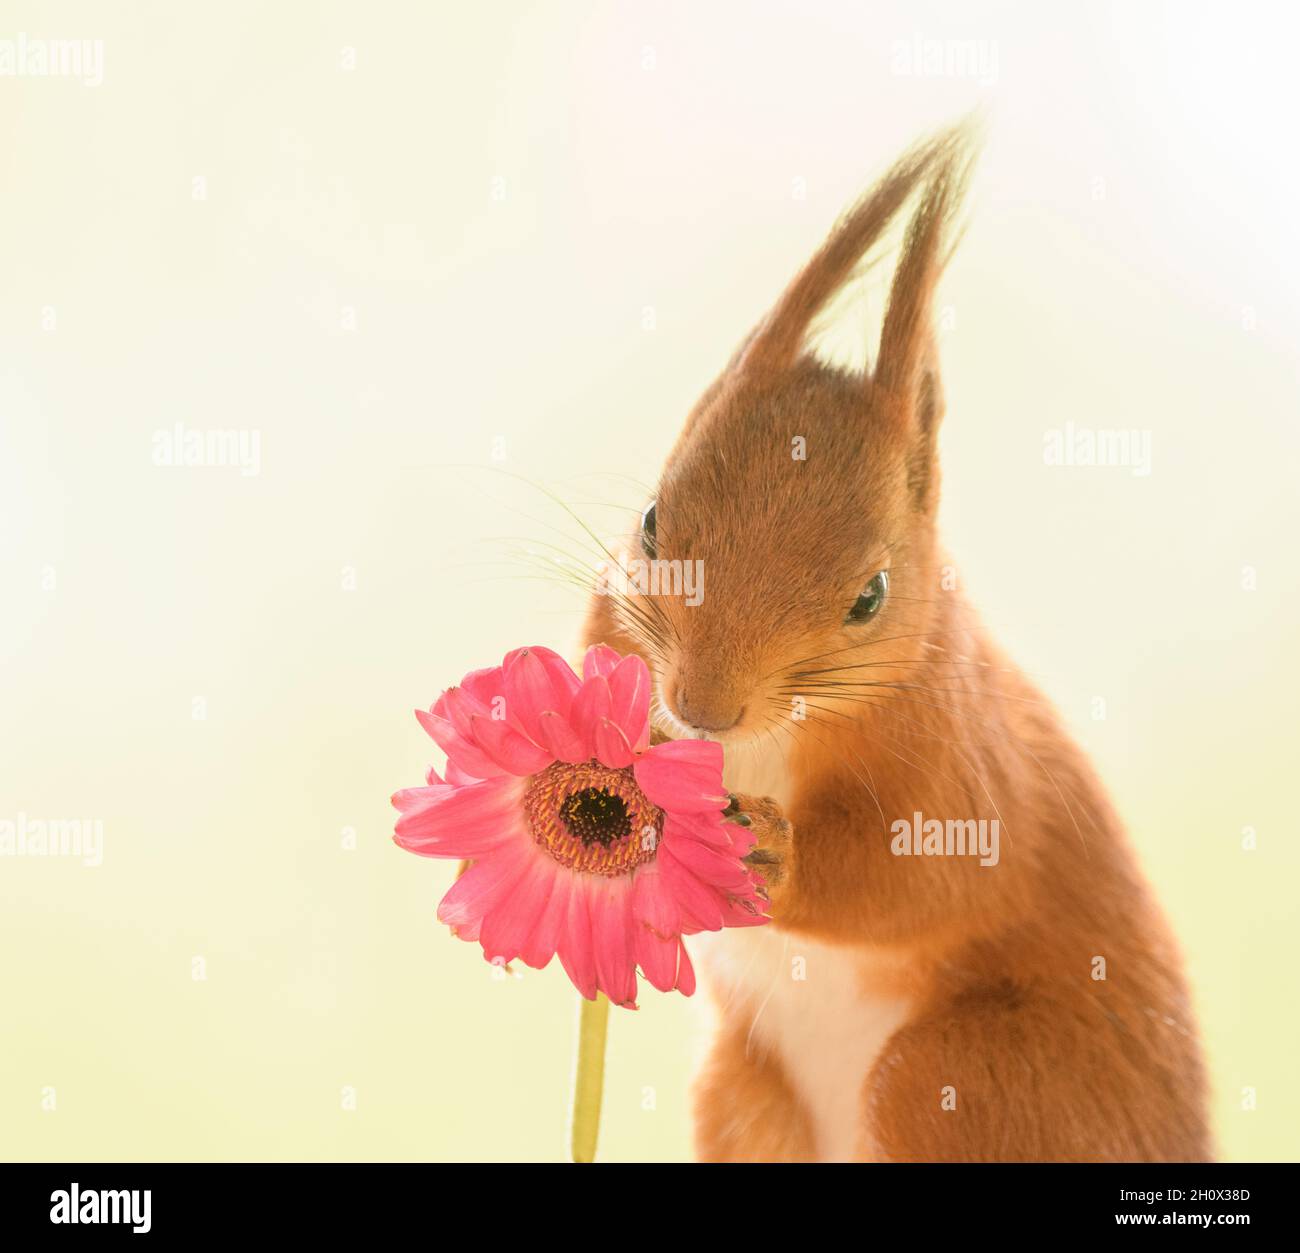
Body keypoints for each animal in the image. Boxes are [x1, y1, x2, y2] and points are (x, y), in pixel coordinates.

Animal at [581, 122, 1211, 1162]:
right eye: (649, 523)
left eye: (870, 597)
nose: (701, 706)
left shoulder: (965, 764)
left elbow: (924, 876)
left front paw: (778, 852)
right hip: (740, 1092)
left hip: (958, 1079)